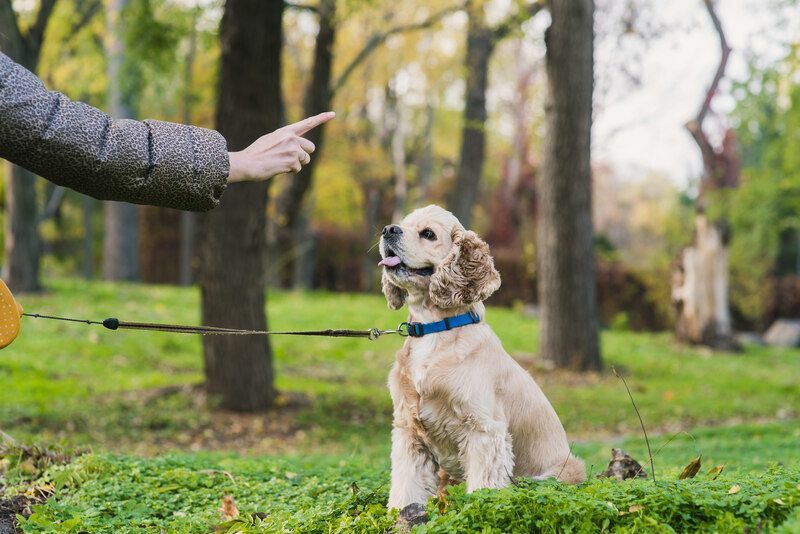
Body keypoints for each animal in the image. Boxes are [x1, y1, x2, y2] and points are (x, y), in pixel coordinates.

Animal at [378, 205, 584, 516]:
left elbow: (483, 488)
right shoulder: (408, 431)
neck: (433, 330)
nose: (388, 229)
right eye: (402, 224)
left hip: (559, 471)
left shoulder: (484, 430)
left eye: (428, 234)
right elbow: (406, 484)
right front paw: (403, 513)